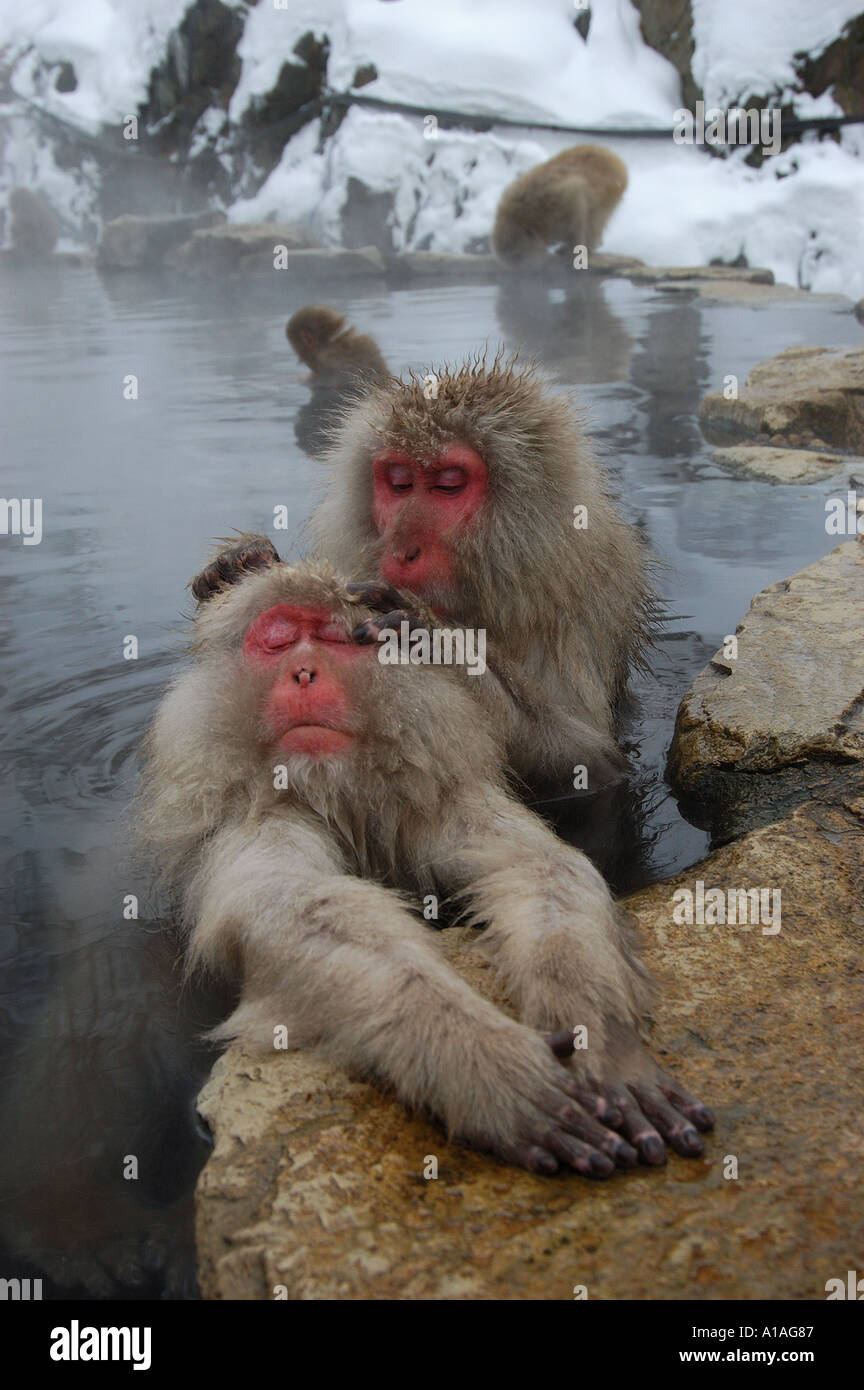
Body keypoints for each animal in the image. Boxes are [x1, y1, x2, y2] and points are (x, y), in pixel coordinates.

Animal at [140, 558, 712, 1175]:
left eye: (332, 638)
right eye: (276, 640)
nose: (302, 673)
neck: (341, 792)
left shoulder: (434, 795)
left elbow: (540, 866)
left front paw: (600, 1040)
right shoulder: (259, 814)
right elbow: (295, 907)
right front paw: (482, 1063)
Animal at [191, 358, 657, 793]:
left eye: (447, 485)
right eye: (399, 482)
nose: (402, 549)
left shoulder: (587, 597)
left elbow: (590, 764)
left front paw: (433, 643)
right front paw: (237, 564)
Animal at [492, 145, 628, 267]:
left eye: (517, 255)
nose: (515, 267)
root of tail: (615, 159)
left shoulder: (562, 203)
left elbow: (578, 207)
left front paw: (574, 251)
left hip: (611, 193)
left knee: (595, 217)